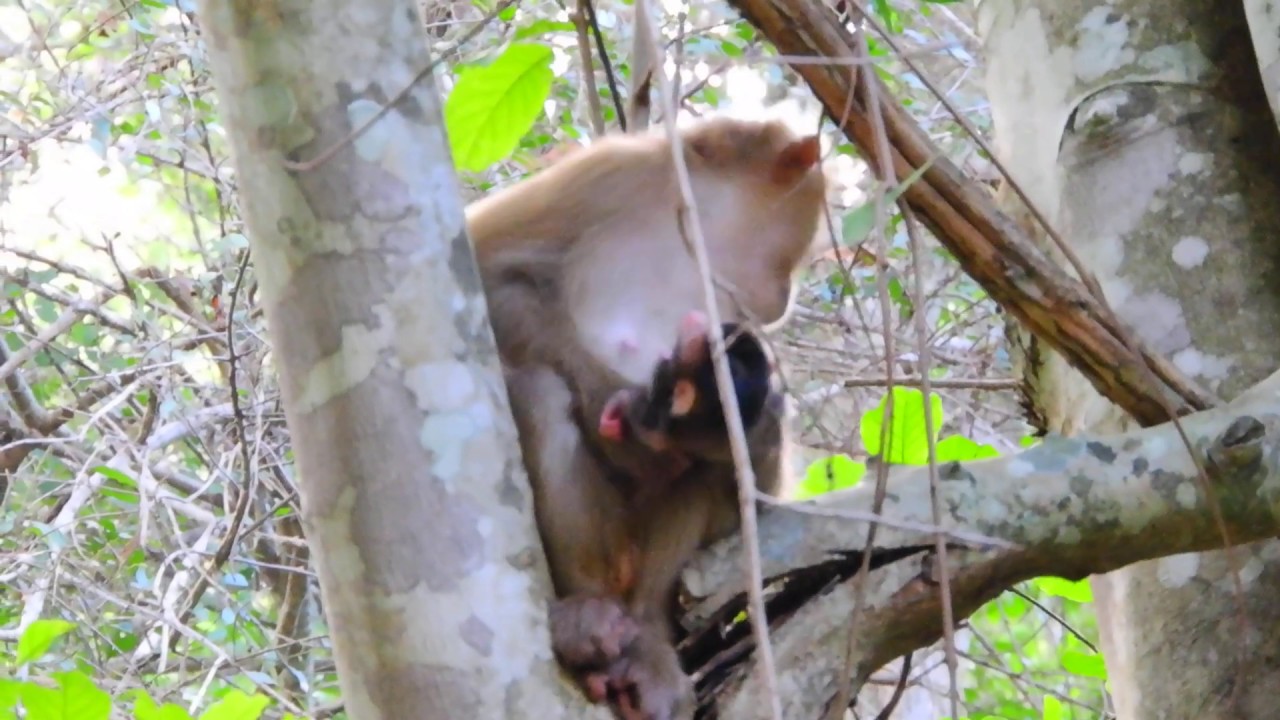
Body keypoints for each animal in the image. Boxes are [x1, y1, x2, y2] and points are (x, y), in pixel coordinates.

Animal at [465, 115, 826, 719]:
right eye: (793, 255)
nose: (785, 296)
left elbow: (753, 492)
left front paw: (749, 416)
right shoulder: (609, 177)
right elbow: (490, 270)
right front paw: (621, 413)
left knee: (708, 471)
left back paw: (648, 642)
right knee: (539, 392)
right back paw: (586, 615)